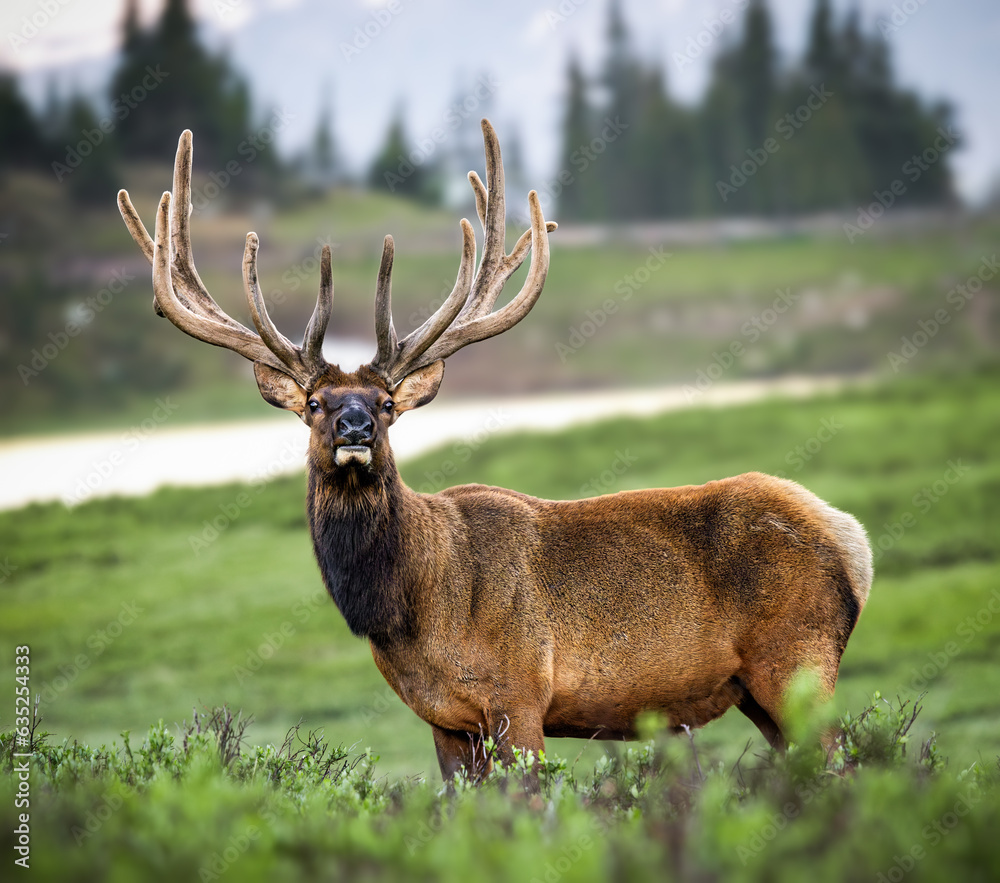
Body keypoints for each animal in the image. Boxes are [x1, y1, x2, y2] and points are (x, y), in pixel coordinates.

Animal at [117, 120, 873, 784]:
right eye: (314, 404)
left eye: (386, 404)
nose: (356, 428)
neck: (414, 606)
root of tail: (852, 540)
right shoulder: (445, 720)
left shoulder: (521, 691)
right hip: (760, 688)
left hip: (798, 659)